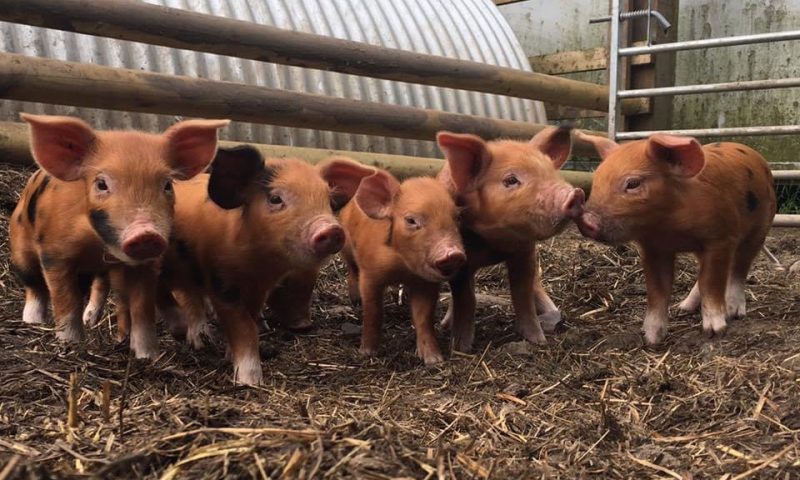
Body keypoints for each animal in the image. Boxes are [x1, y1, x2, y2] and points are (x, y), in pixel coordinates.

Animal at [9, 114, 228, 358]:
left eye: (168, 185)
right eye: (101, 184)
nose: (146, 234)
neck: (97, 246)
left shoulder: (145, 265)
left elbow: (142, 308)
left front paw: (147, 356)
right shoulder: (54, 254)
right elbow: (65, 300)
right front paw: (71, 343)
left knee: (101, 287)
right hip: (20, 246)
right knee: (34, 286)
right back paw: (33, 322)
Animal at [156, 147, 375, 385]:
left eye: (327, 199)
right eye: (275, 198)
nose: (332, 229)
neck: (257, 264)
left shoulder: (259, 289)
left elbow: (249, 319)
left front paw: (231, 355)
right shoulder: (220, 281)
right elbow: (242, 325)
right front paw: (250, 381)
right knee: (186, 297)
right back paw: (200, 341)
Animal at [340, 167, 467, 364]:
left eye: (457, 217)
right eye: (411, 220)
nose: (453, 254)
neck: (402, 268)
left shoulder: (426, 283)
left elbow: (423, 317)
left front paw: (434, 360)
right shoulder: (370, 275)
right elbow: (374, 311)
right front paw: (367, 352)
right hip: (346, 245)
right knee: (352, 270)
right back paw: (355, 301)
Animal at [434, 126, 585, 352]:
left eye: (552, 173)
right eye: (511, 180)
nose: (574, 193)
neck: (494, 242)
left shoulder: (525, 251)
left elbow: (522, 293)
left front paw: (538, 341)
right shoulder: (461, 261)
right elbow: (465, 299)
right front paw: (461, 348)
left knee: (536, 284)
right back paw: (445, 326)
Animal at [574, 131, 776, 344]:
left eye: (633, 183)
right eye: (596, 180)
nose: (585, 220)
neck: (671, 228)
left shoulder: (720, 238)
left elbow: (711, 282)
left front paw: (715, 331)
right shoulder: (653, 249)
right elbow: (657, 291)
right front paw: (651, 339)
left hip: (760, 228)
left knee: (740, 267)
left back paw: (735, 312)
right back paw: (683, 308)